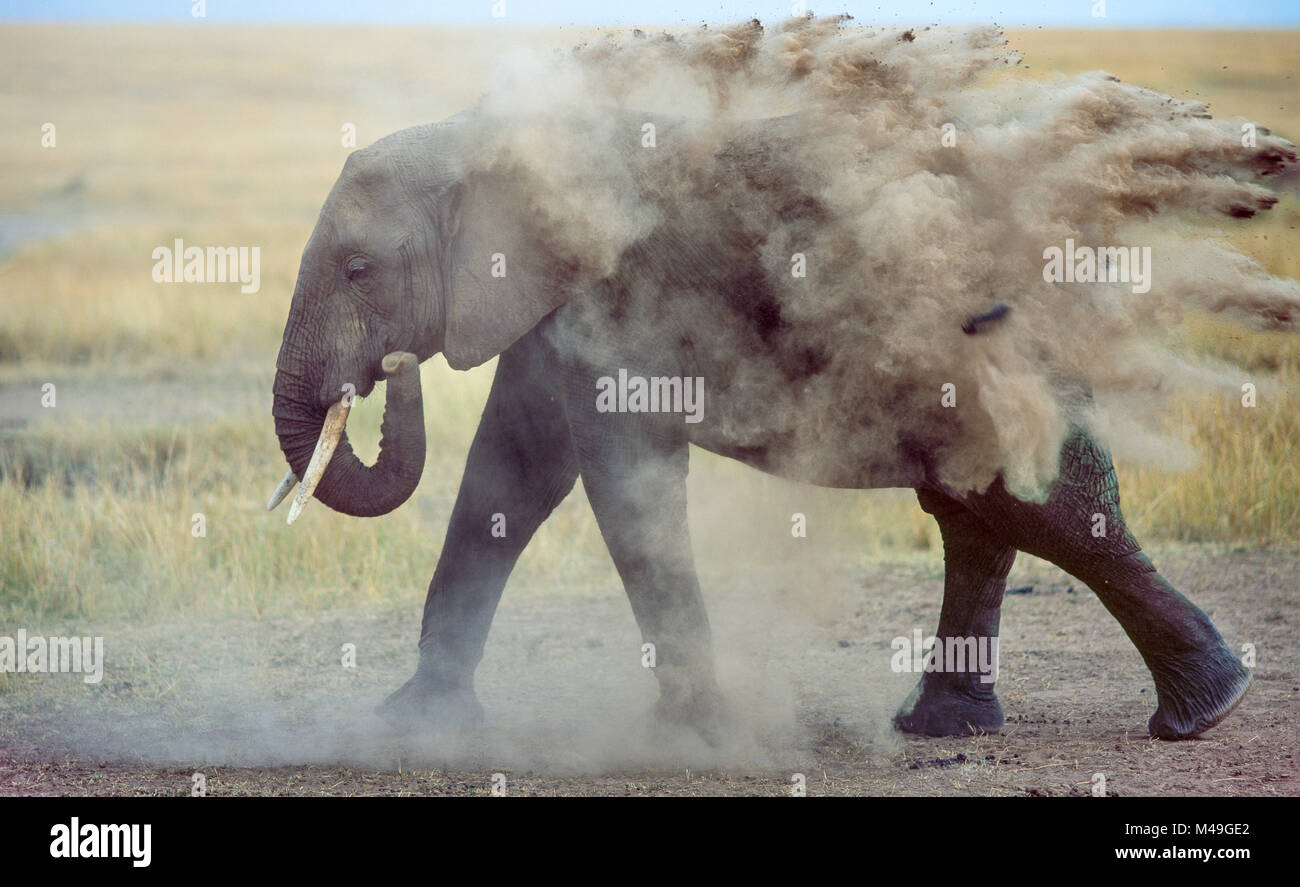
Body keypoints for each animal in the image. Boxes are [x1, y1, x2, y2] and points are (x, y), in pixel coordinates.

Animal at [267, 110, 1256, 743]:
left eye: (358, 269)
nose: (389, 370)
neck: (493, 131)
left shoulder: (623, 301)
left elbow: (621, 480)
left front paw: (692, 733)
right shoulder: (550, 306)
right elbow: (512, 472)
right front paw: (414, 722)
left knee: (1037, 505)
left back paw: (1203, 712)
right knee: (979, 510)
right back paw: (944, 728)